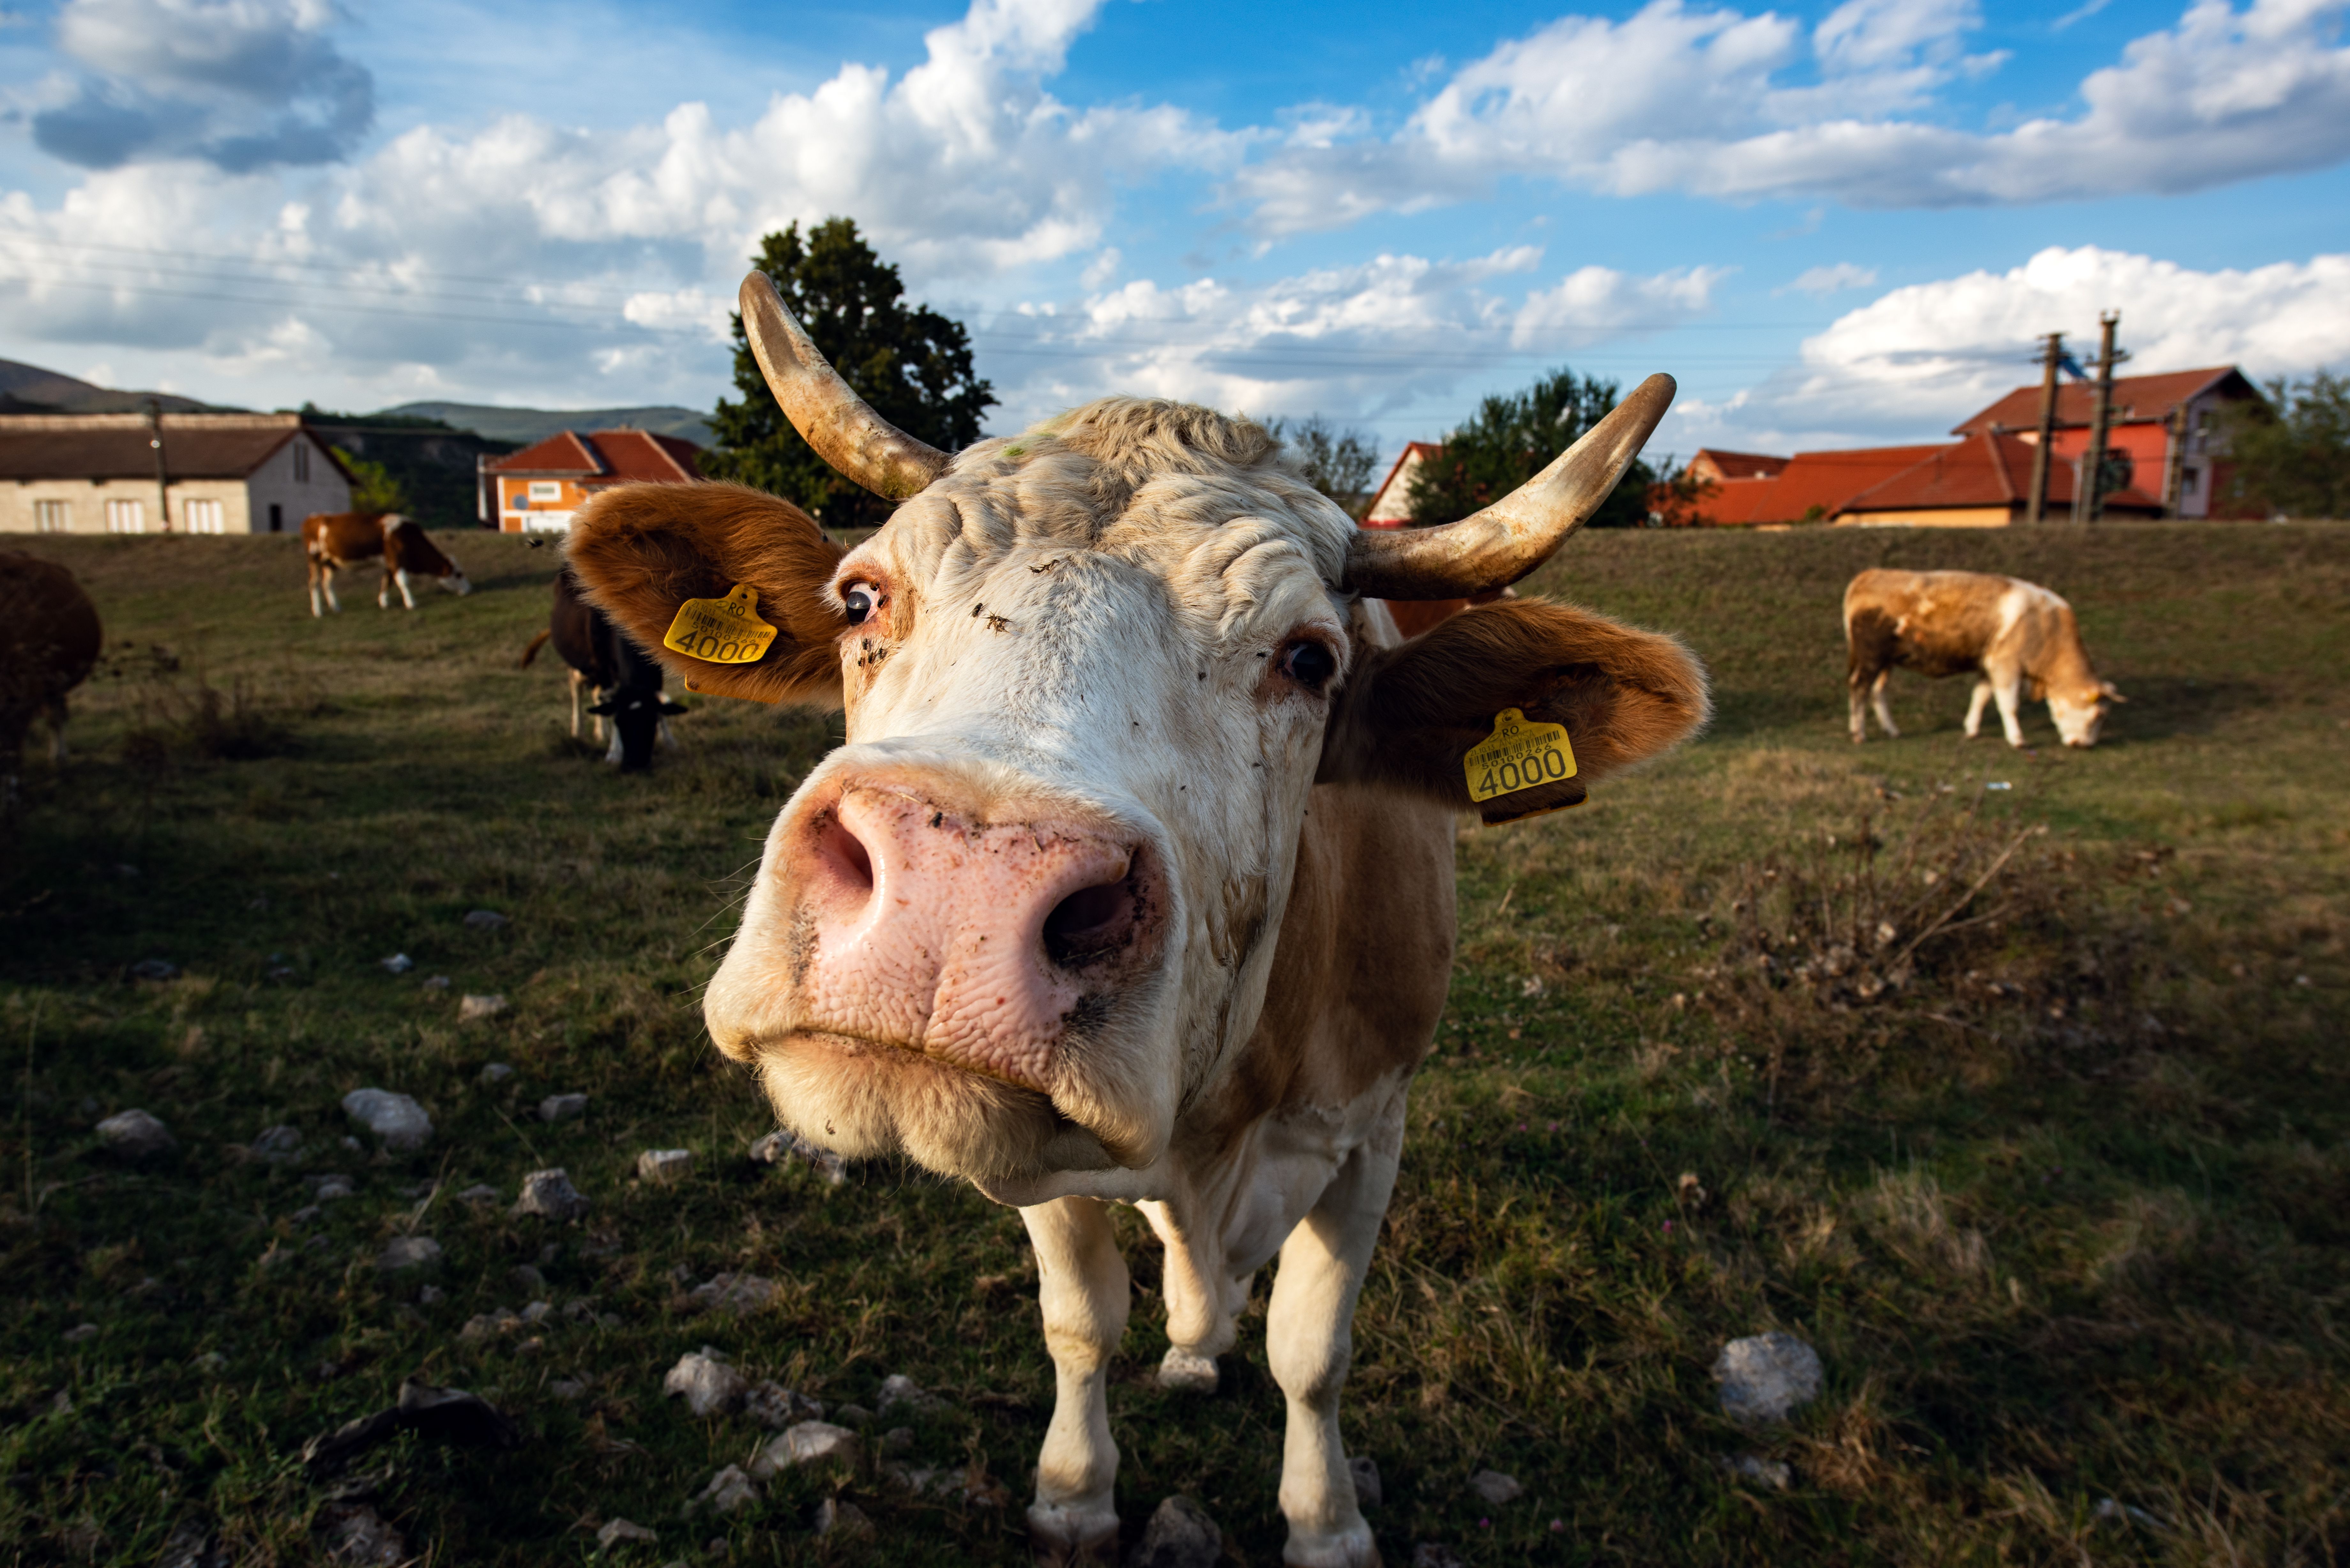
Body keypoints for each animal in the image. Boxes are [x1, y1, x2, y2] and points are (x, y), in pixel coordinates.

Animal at [0, 551, 103, 801]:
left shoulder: (25, 695)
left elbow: (12, 743)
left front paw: (12, 792)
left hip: (54, 685)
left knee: (56, 716)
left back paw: (60, 758)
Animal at [303, 512, 472, 616]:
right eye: (459, 574)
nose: (469, 589)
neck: (408, 535)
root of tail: (314, 518)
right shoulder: (396, 558)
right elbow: (403, 581)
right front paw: (411, 603)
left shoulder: (390, 562)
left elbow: (387, 580)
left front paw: (384, 603)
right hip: (314, 558)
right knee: (314, 583)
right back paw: (318, 612)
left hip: (330, 562)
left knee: (327, 583)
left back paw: (337, 607)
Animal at [517, 566, 685, 771]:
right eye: (620, 723)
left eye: (651, 724)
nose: (635, 765)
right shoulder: (601, 666)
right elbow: (608, 702)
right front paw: (614, 753)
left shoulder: (655, 667)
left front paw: (670, 742)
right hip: (579, 663)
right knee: (577, 687)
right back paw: (578, 730)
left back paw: (600, 732)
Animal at [565, 274, 1710, 1567]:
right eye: (862, 597)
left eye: (1309, 659)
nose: (958, 884)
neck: (1215, 1106)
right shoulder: (1033, 1150)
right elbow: (1082, 1322)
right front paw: (1075, 1489)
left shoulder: (1372, 1127)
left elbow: (1312, 1350)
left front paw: (1326, 1519)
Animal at [1844, 568, 2123, 748]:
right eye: (2100, 715)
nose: (2085, 745)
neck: (2045, 624)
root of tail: (1869, 574)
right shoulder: (2006, 666)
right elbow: (2009, 704)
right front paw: (2017, 739)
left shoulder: (1989, 666)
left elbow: (1981, 697)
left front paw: (1972, 729)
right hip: (1871, 658)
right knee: (1860, 688)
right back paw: (1858, 733)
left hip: (1887, 661)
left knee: (1878, 692)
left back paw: (1892, 730)